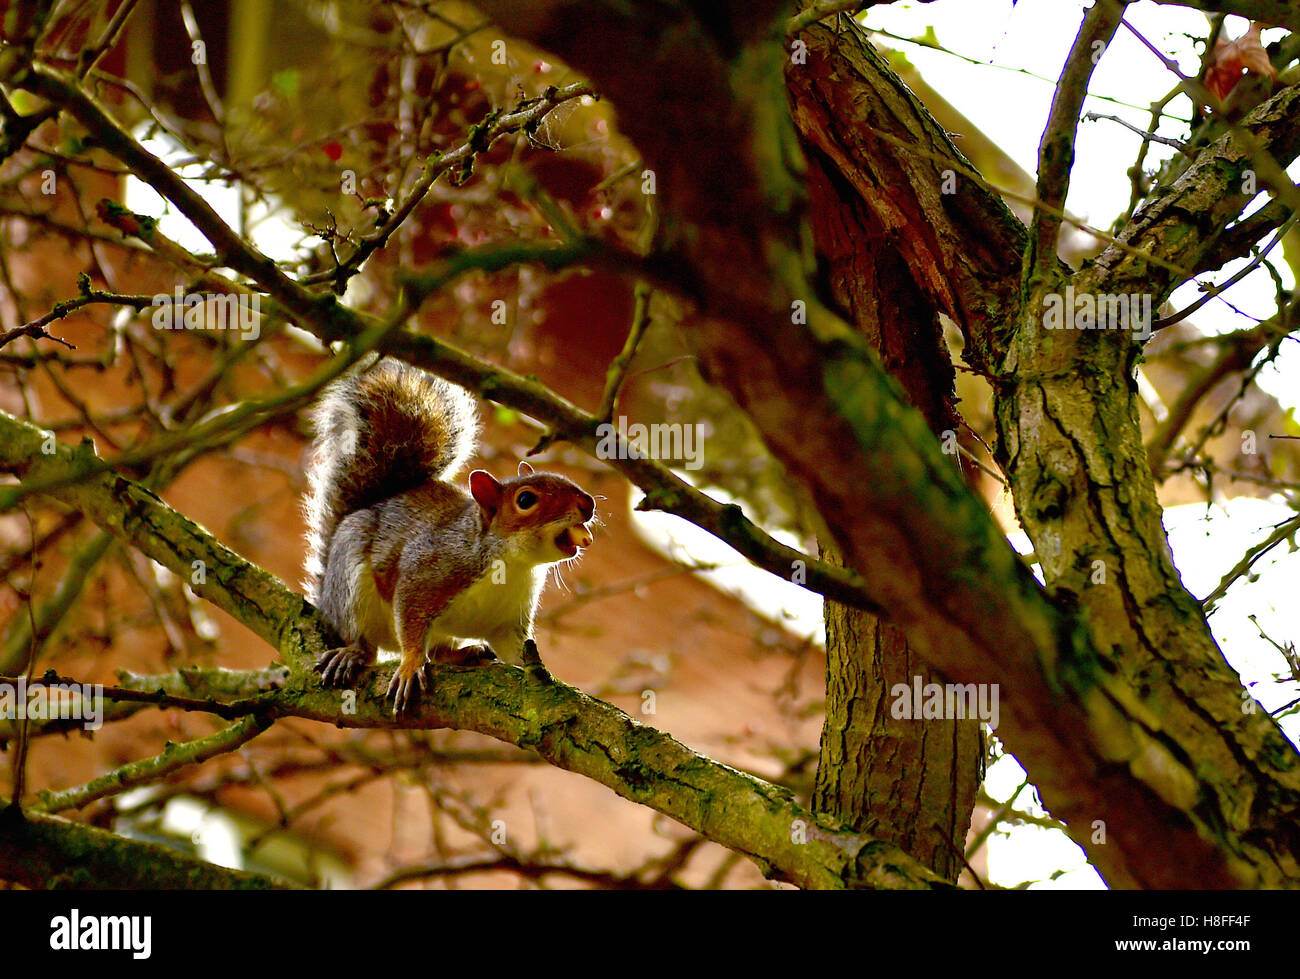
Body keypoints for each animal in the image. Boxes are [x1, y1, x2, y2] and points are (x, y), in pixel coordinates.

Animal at [302, 356, 595, 715]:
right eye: (526, 500)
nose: (588, 504)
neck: (512, 564)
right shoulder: (425, 574)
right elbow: (411, 623)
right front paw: (410, 665)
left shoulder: (507, 623)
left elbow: (516, 651)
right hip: (349, 583)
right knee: (366, 641)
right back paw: (352, 653)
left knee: (440, 652)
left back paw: (466, 653)